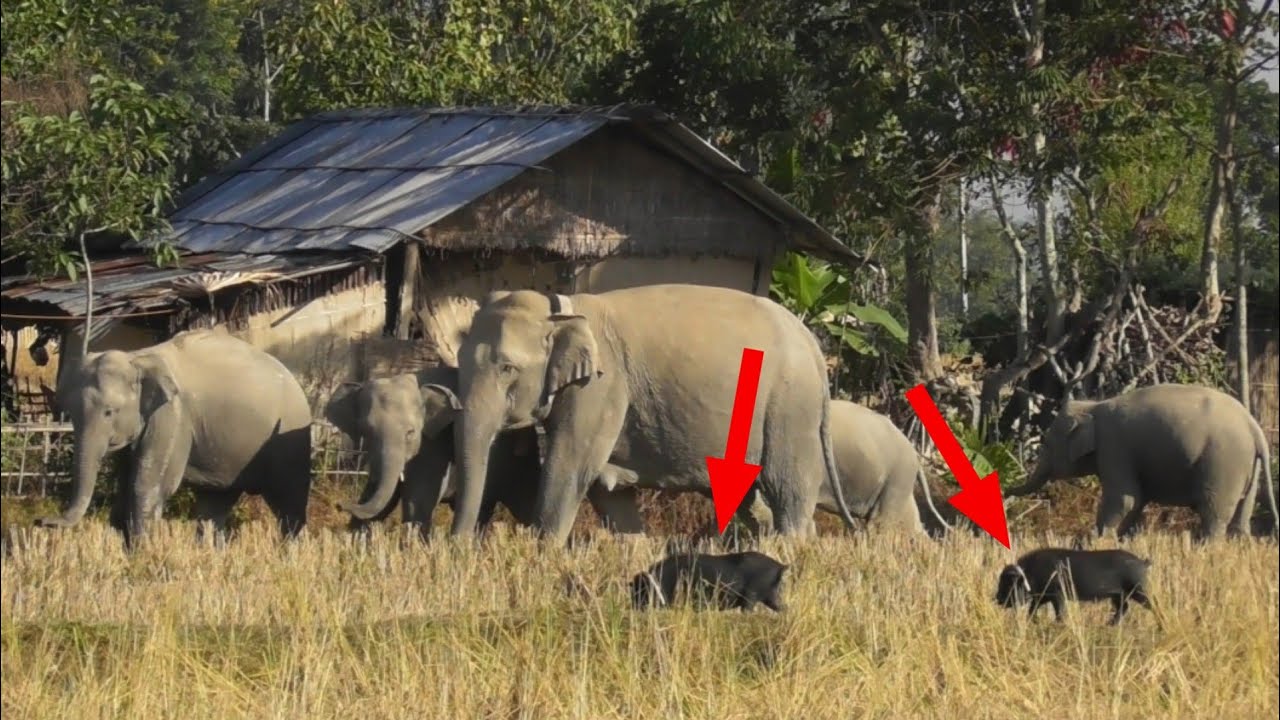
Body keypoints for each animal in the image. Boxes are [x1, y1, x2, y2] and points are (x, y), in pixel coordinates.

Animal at [37, 328, 312, 545]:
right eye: (70, 414)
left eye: (109, 412)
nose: (42, 521)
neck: (138, 357)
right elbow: (125, 485)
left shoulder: (172, 416)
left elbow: (148, 485)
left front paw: (142, 556)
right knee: (215, 505)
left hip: (291, 441)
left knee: (289, 505)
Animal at [324, 367, 646, 537]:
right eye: (365, 431)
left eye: (410, 433)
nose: (339, 504)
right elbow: (380, 497)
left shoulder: (434, 442)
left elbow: (419, 499)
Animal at [449, 285, 858, 544]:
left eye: (507, 369)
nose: (460, 547)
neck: (563, 310)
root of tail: (812, 344)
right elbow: (605, 488)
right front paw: (635, 549)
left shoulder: (601, 387)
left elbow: (571, 465)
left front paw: (544, 550)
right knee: (751, 501)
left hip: (790, 409)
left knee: (789, 488)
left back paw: (791, 546)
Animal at [1005, 383, 1278, 540]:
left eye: (1046, 445)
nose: (1005, 488)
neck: (1093, 405)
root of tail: (1254, 428)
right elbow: (1135, 501)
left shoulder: (1115, 446)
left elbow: (1125, 498)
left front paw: (1096, 540)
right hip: (1248, 465)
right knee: (1242, 515)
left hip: (1224, 462)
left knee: (1213, 510)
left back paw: (1207, 548)